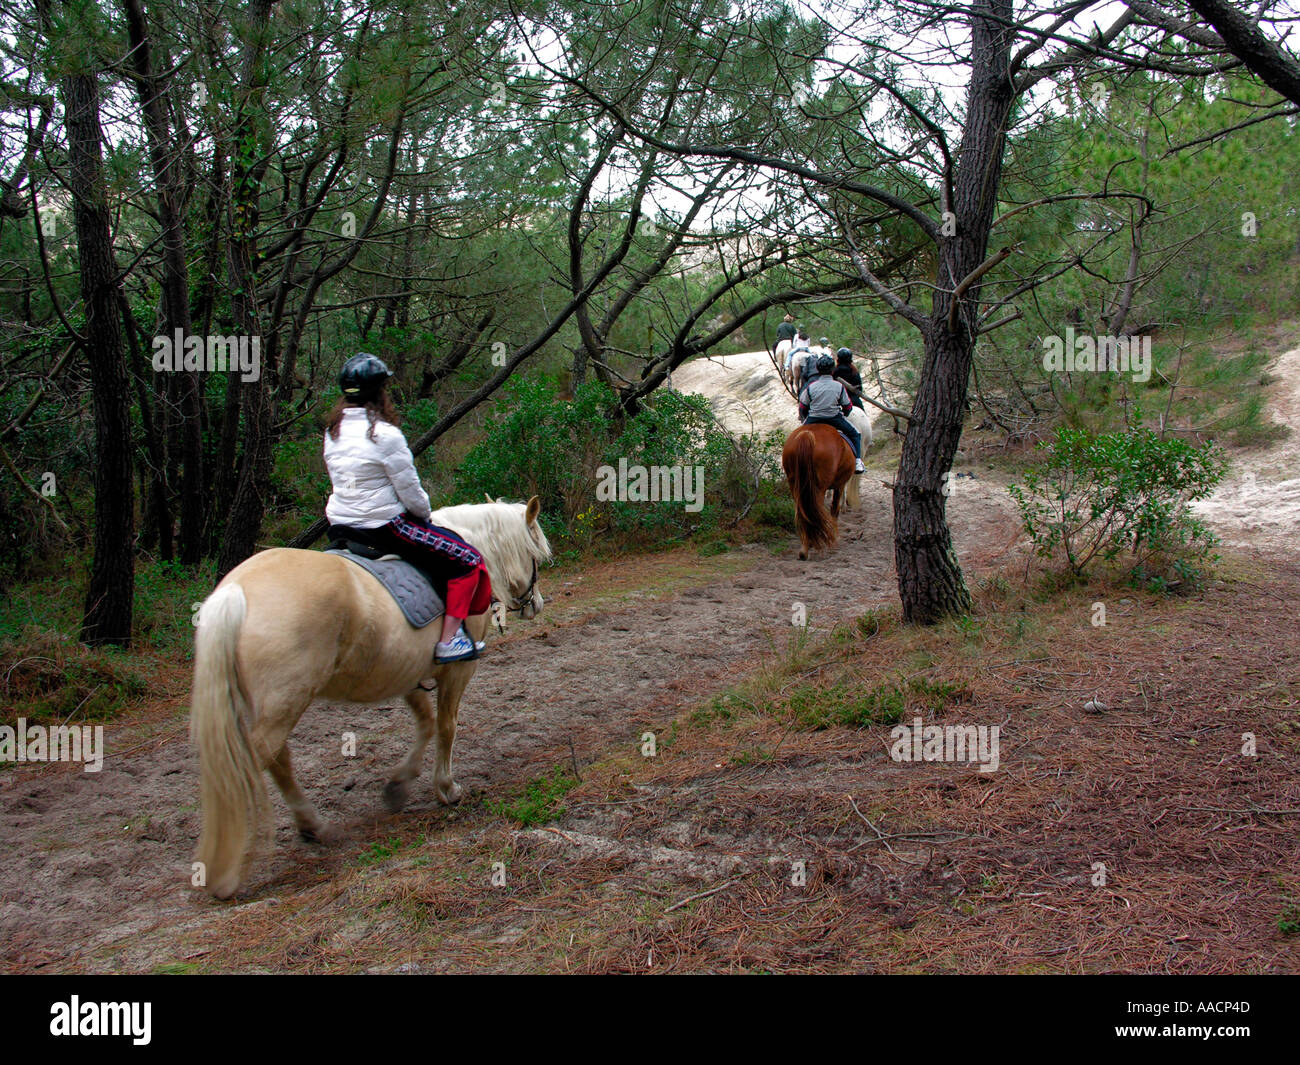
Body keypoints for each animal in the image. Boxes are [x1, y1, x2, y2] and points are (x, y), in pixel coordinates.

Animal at [190, 496, 551, 899]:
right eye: (535, 556)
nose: (536, 603)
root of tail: (234, 591)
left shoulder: (408, 673)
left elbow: (425, 725)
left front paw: (398, 786)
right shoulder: (457, 670)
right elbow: (446, 727)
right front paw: (447, 788)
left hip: (271, 706)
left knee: (278, 761)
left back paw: (312, 825)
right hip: (283, 704)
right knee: (253, 765)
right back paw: (231, 867)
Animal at [782, 423, 860, 559]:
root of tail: (806, 435)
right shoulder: (839, 485)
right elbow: (834, 509)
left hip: (794, 485)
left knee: (803, 512)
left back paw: (805, 547)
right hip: (819, 488)